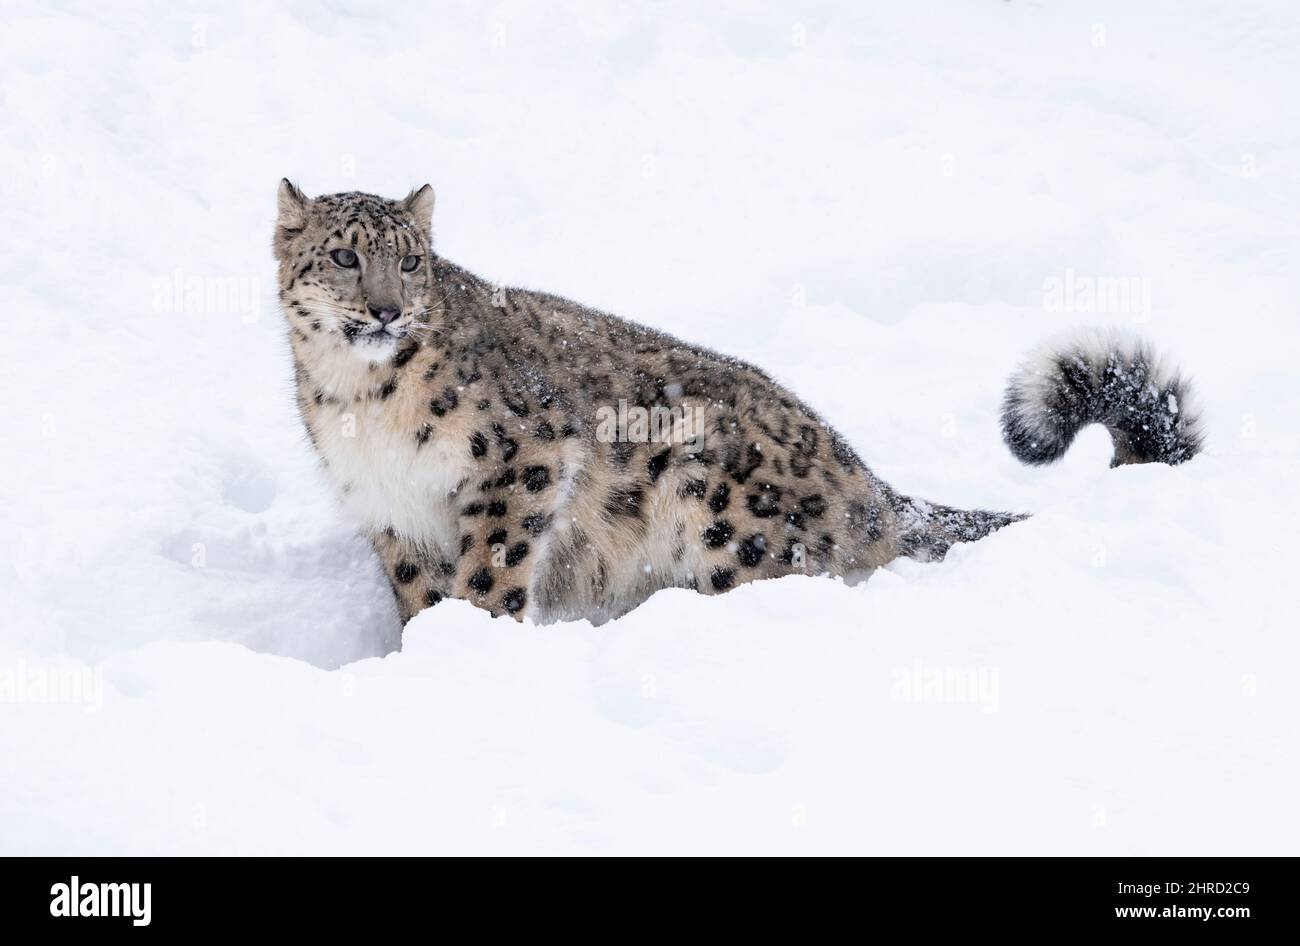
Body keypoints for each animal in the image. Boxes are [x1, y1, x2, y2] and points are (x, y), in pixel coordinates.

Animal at [273, 179, 1204, 626]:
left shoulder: (522, 460)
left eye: (411, 260)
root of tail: (870, 483)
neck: (360, 403)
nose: (386, 309)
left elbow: (489, 569)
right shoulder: (390, 512)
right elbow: (418, 594)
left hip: (722, 512)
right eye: (345, 257)